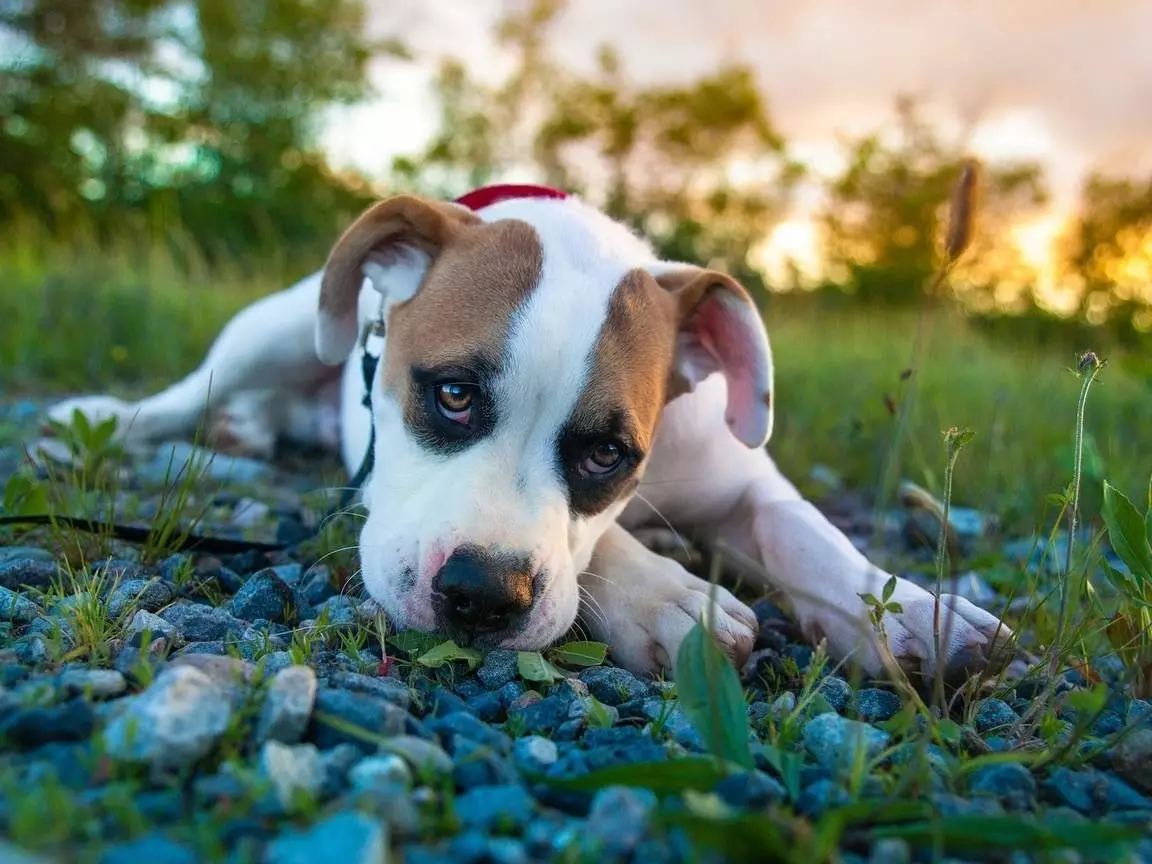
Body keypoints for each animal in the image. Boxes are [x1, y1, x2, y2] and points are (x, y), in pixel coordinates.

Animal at [40, 186, 1013, 681]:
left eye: (608, 453)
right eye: (453, 395)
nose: (481, 596)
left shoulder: (740, 477)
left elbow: (803, 531)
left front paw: (913, 610)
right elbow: (604, 544)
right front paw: (671, 596)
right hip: (276, 329)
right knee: (192, 391)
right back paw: (101, 424)